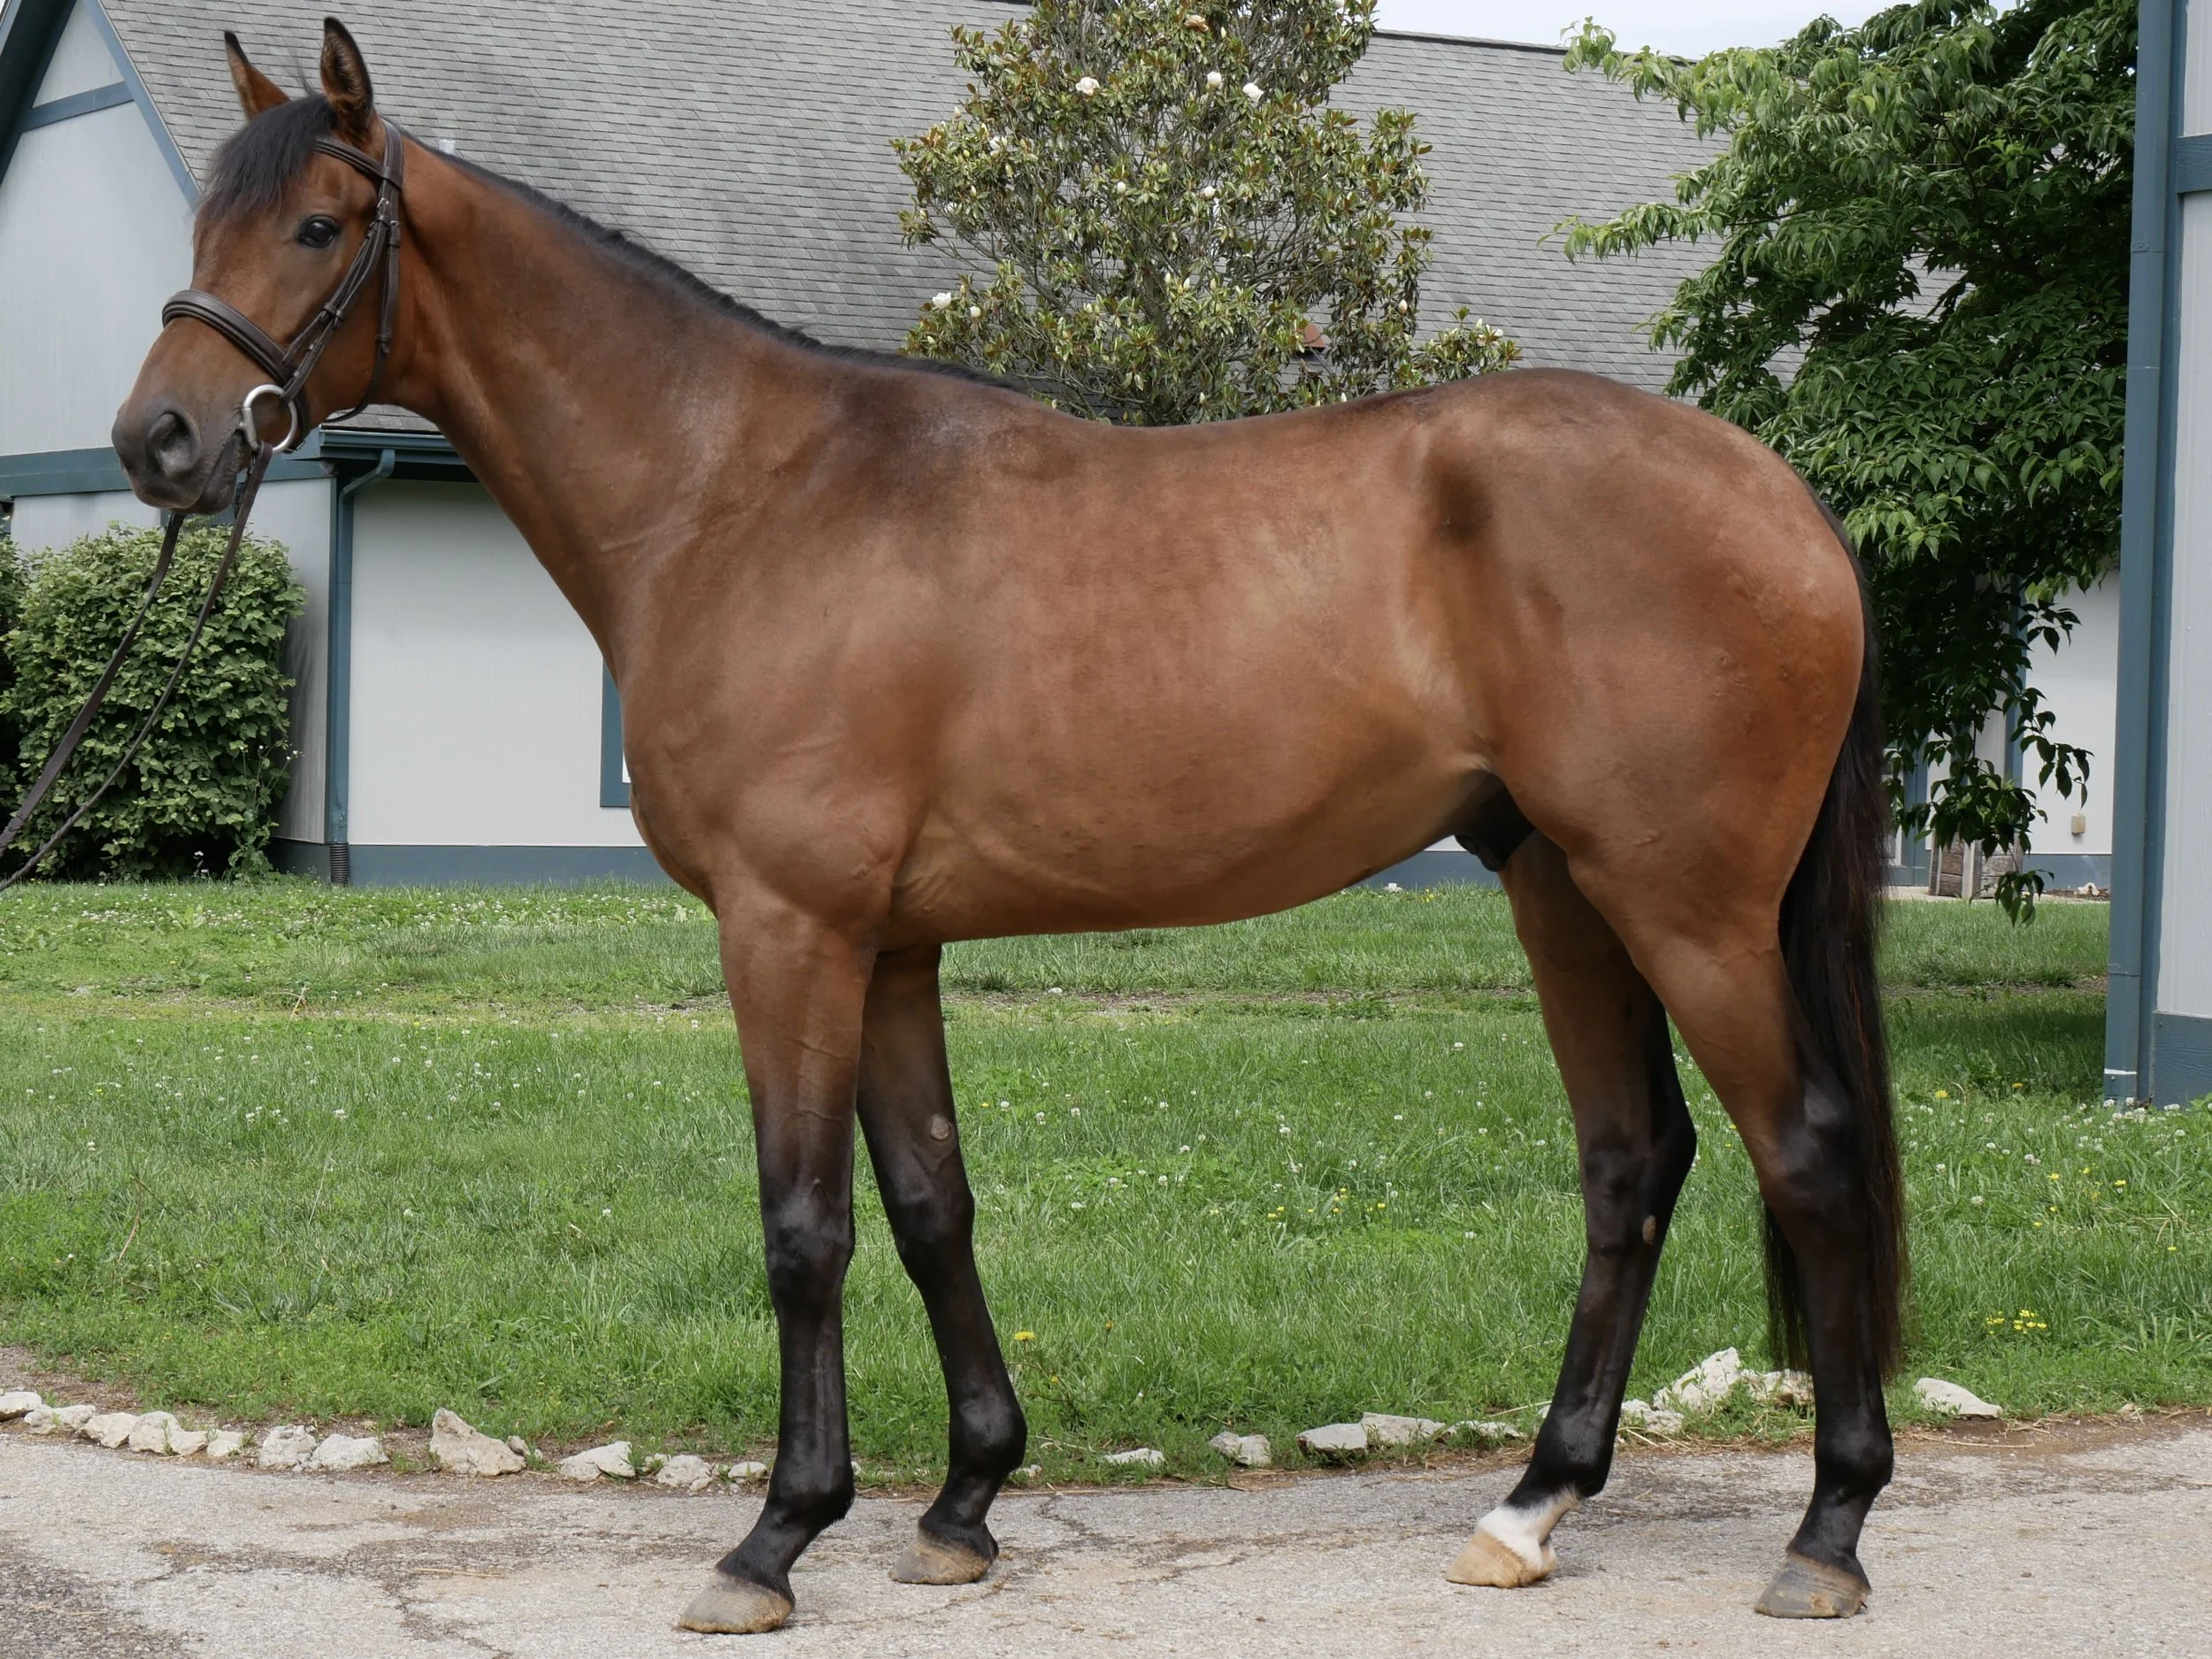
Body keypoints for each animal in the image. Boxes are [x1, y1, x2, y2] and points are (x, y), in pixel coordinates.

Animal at [111, 19, 1906, 1635]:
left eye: (319, 226)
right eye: (201, 233)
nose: (159, 441)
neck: (741, 492)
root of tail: (1787, 498)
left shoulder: (791, 928)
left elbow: (804, 1227)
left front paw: (773, 1539)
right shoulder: (893, 944)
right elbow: (929, 1208)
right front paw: (963, 1502)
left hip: (1682, 905)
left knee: (1806, 1152)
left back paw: (1827, 1529)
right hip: (1563, 889)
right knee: (1634, 1161)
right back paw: (1531, 1508)